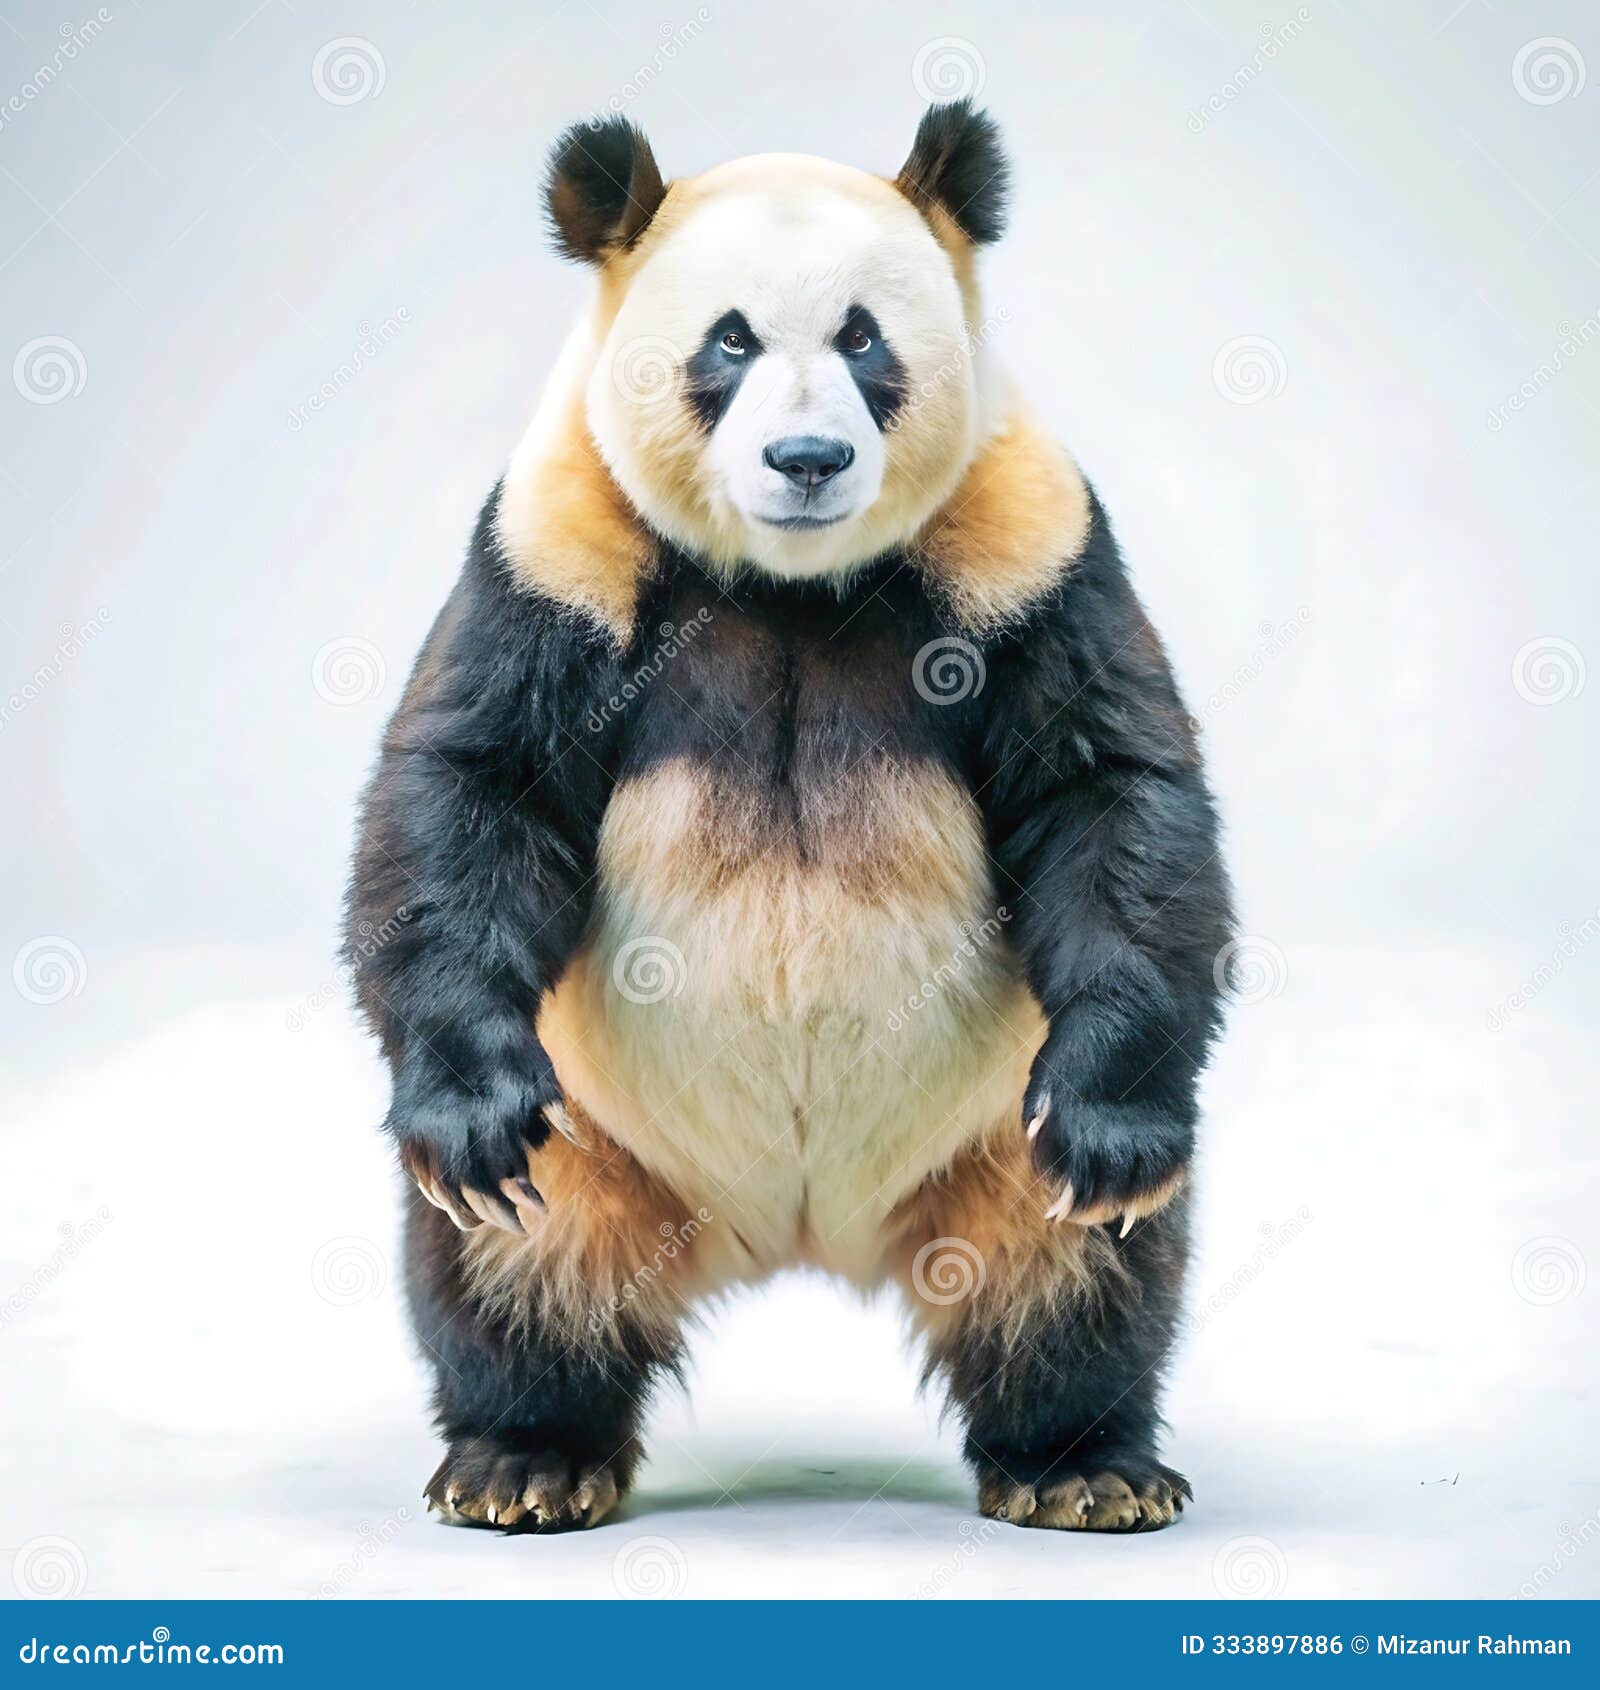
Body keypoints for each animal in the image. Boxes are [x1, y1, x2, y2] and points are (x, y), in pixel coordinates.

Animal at [346, 100, 1234, 1536]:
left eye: (865, 338)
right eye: (731, 340)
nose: (806, 460)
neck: (791, 581)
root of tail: (796, 1233)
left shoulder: (1025, 538)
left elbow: (1108, 788)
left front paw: (1112, 1121)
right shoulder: (558, 545)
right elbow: (473, 786)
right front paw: (470, 1104)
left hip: (994, 1137)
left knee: (1082, 1269)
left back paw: (1083, 1458)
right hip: (594, 1138)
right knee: (512, 1259)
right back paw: (523, 1455)